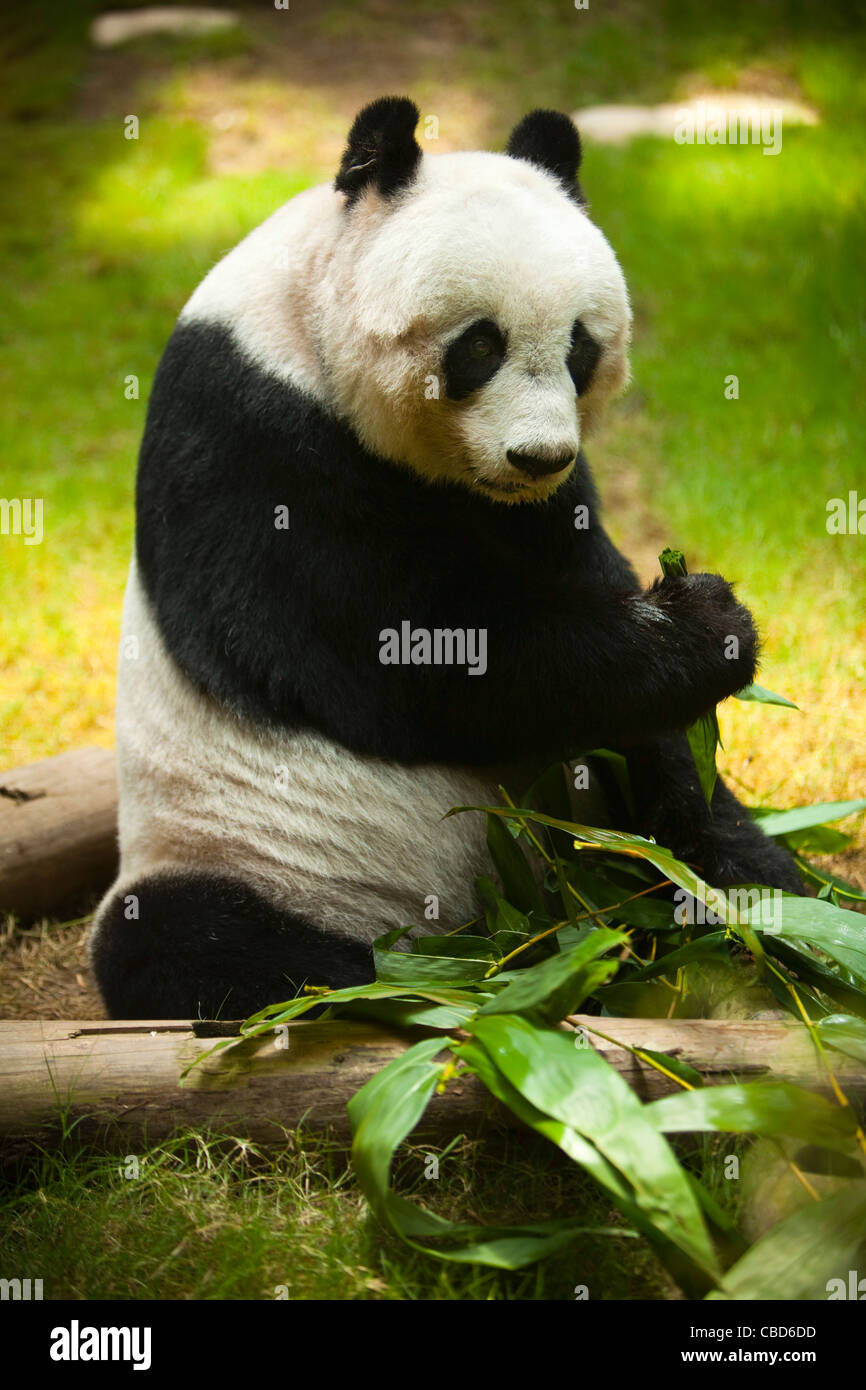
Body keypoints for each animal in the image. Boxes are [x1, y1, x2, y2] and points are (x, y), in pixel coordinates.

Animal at [90, 96, 803, 1020]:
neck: (302, 324)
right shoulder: (249, 437)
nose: (537, 457)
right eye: (480, 345)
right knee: (192, 947)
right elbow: (405, 656)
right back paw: (416, 987)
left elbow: (641, 725)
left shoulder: (545, 509)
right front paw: (703, 623)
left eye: (580, 346)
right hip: (233, 851)